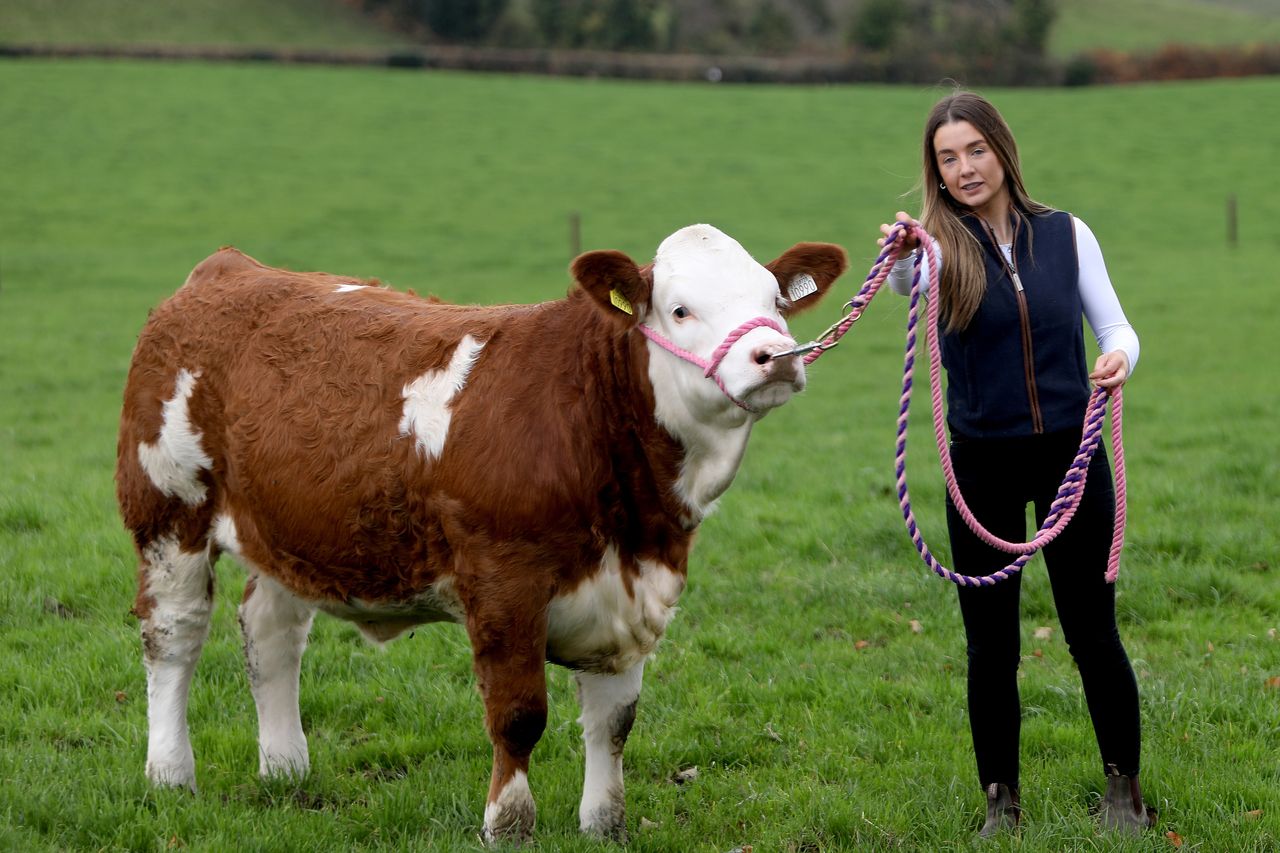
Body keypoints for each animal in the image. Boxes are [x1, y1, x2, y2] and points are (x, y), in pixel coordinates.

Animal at [116, 224, 847, 842]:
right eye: (681, 310)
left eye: (773, 300)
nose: (775, 356)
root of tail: (230, 268)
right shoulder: (504, 581)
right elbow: (519, 713)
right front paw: (509, 823)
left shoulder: (634, 588)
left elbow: (614, 720)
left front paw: (604, 824)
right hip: (167, 507)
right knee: (174, 637)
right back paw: (171, 774)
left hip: (288, 527)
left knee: (270, 631)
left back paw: (286, 767)